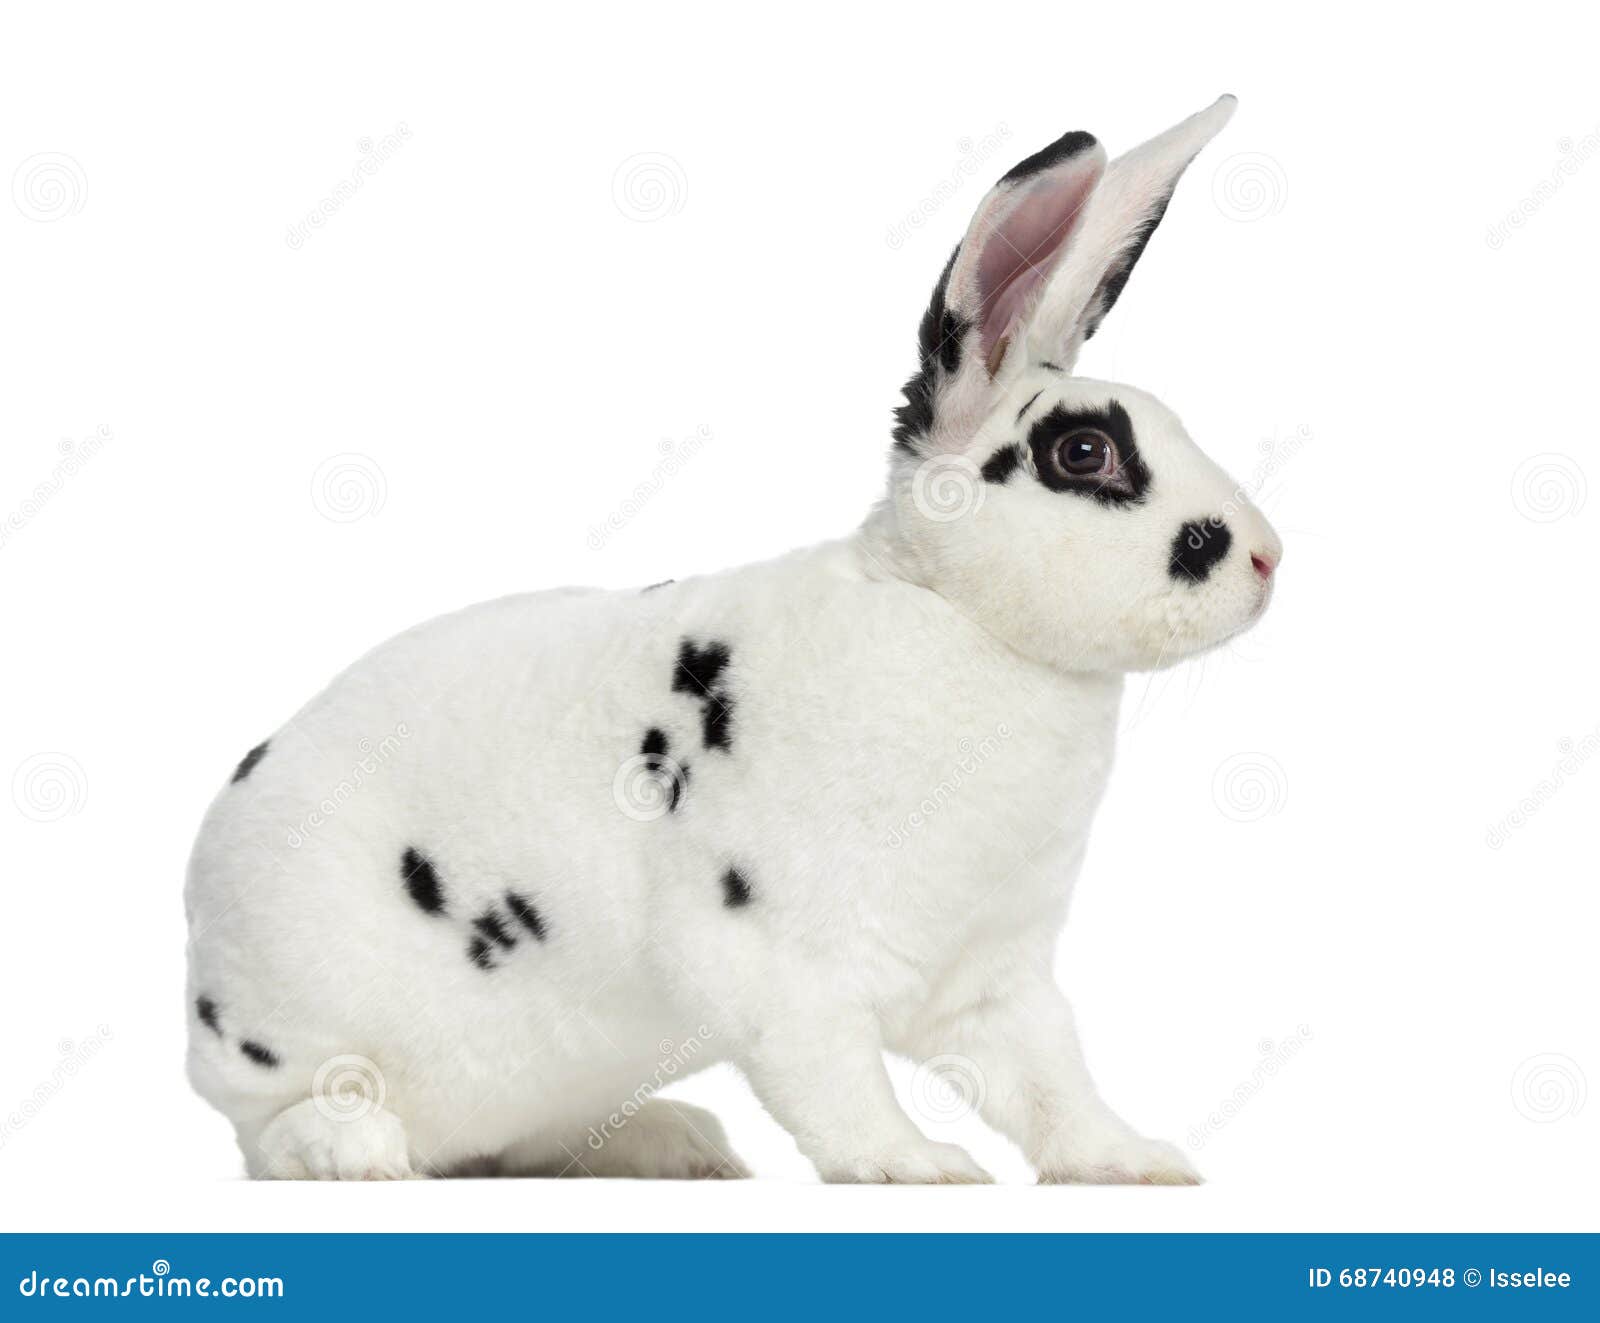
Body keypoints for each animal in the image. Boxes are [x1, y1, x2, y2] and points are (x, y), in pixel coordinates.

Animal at [185, 93, 1281, 1184]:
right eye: (1083, 452)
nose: (1268, 558)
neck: (957, 619)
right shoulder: (779, 959)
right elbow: (834, 1077)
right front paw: (916, 1167)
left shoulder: (993, 976)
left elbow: (1049, 1082)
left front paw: (1139, 1164)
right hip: (297, 1023)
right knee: (272, 1126)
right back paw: (357, 1150)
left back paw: (679, 1143)